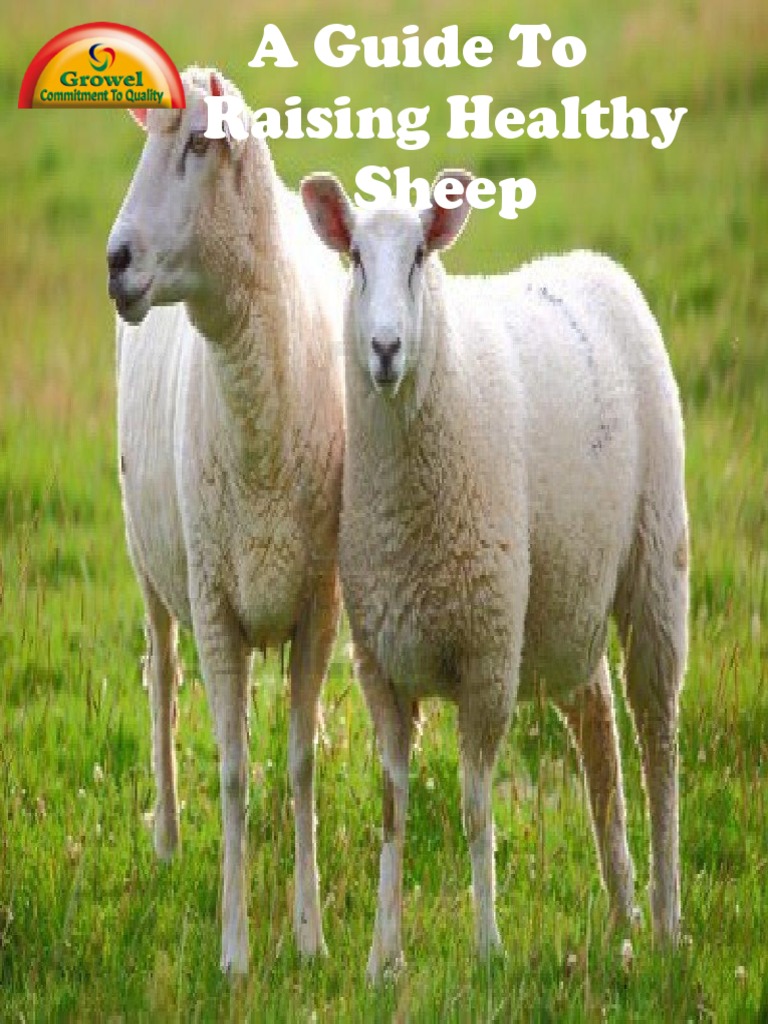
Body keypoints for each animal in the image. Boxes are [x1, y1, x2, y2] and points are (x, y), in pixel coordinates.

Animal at [106, 69, 345, 974]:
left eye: (200, 145)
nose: (115, 262)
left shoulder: (317, 602)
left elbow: (301, 762)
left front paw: (309, 935)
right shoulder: (214, 607)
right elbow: (237, 770)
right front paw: (236, 948)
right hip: (150, 560)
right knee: (162, 679)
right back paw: (170, 842)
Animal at [301, 169, 688, 980]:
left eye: (421, 255)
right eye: (355, 258)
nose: (385, 349)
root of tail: (593, 263)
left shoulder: (485, 657)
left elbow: (477, 808)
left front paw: (486, 948)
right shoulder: (381, 665)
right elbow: (394, 808)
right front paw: (383, 958)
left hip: (655, 560)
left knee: (657, 739)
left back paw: (668, 920)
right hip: (564, 601)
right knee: (599, 733)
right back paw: (622, 912)